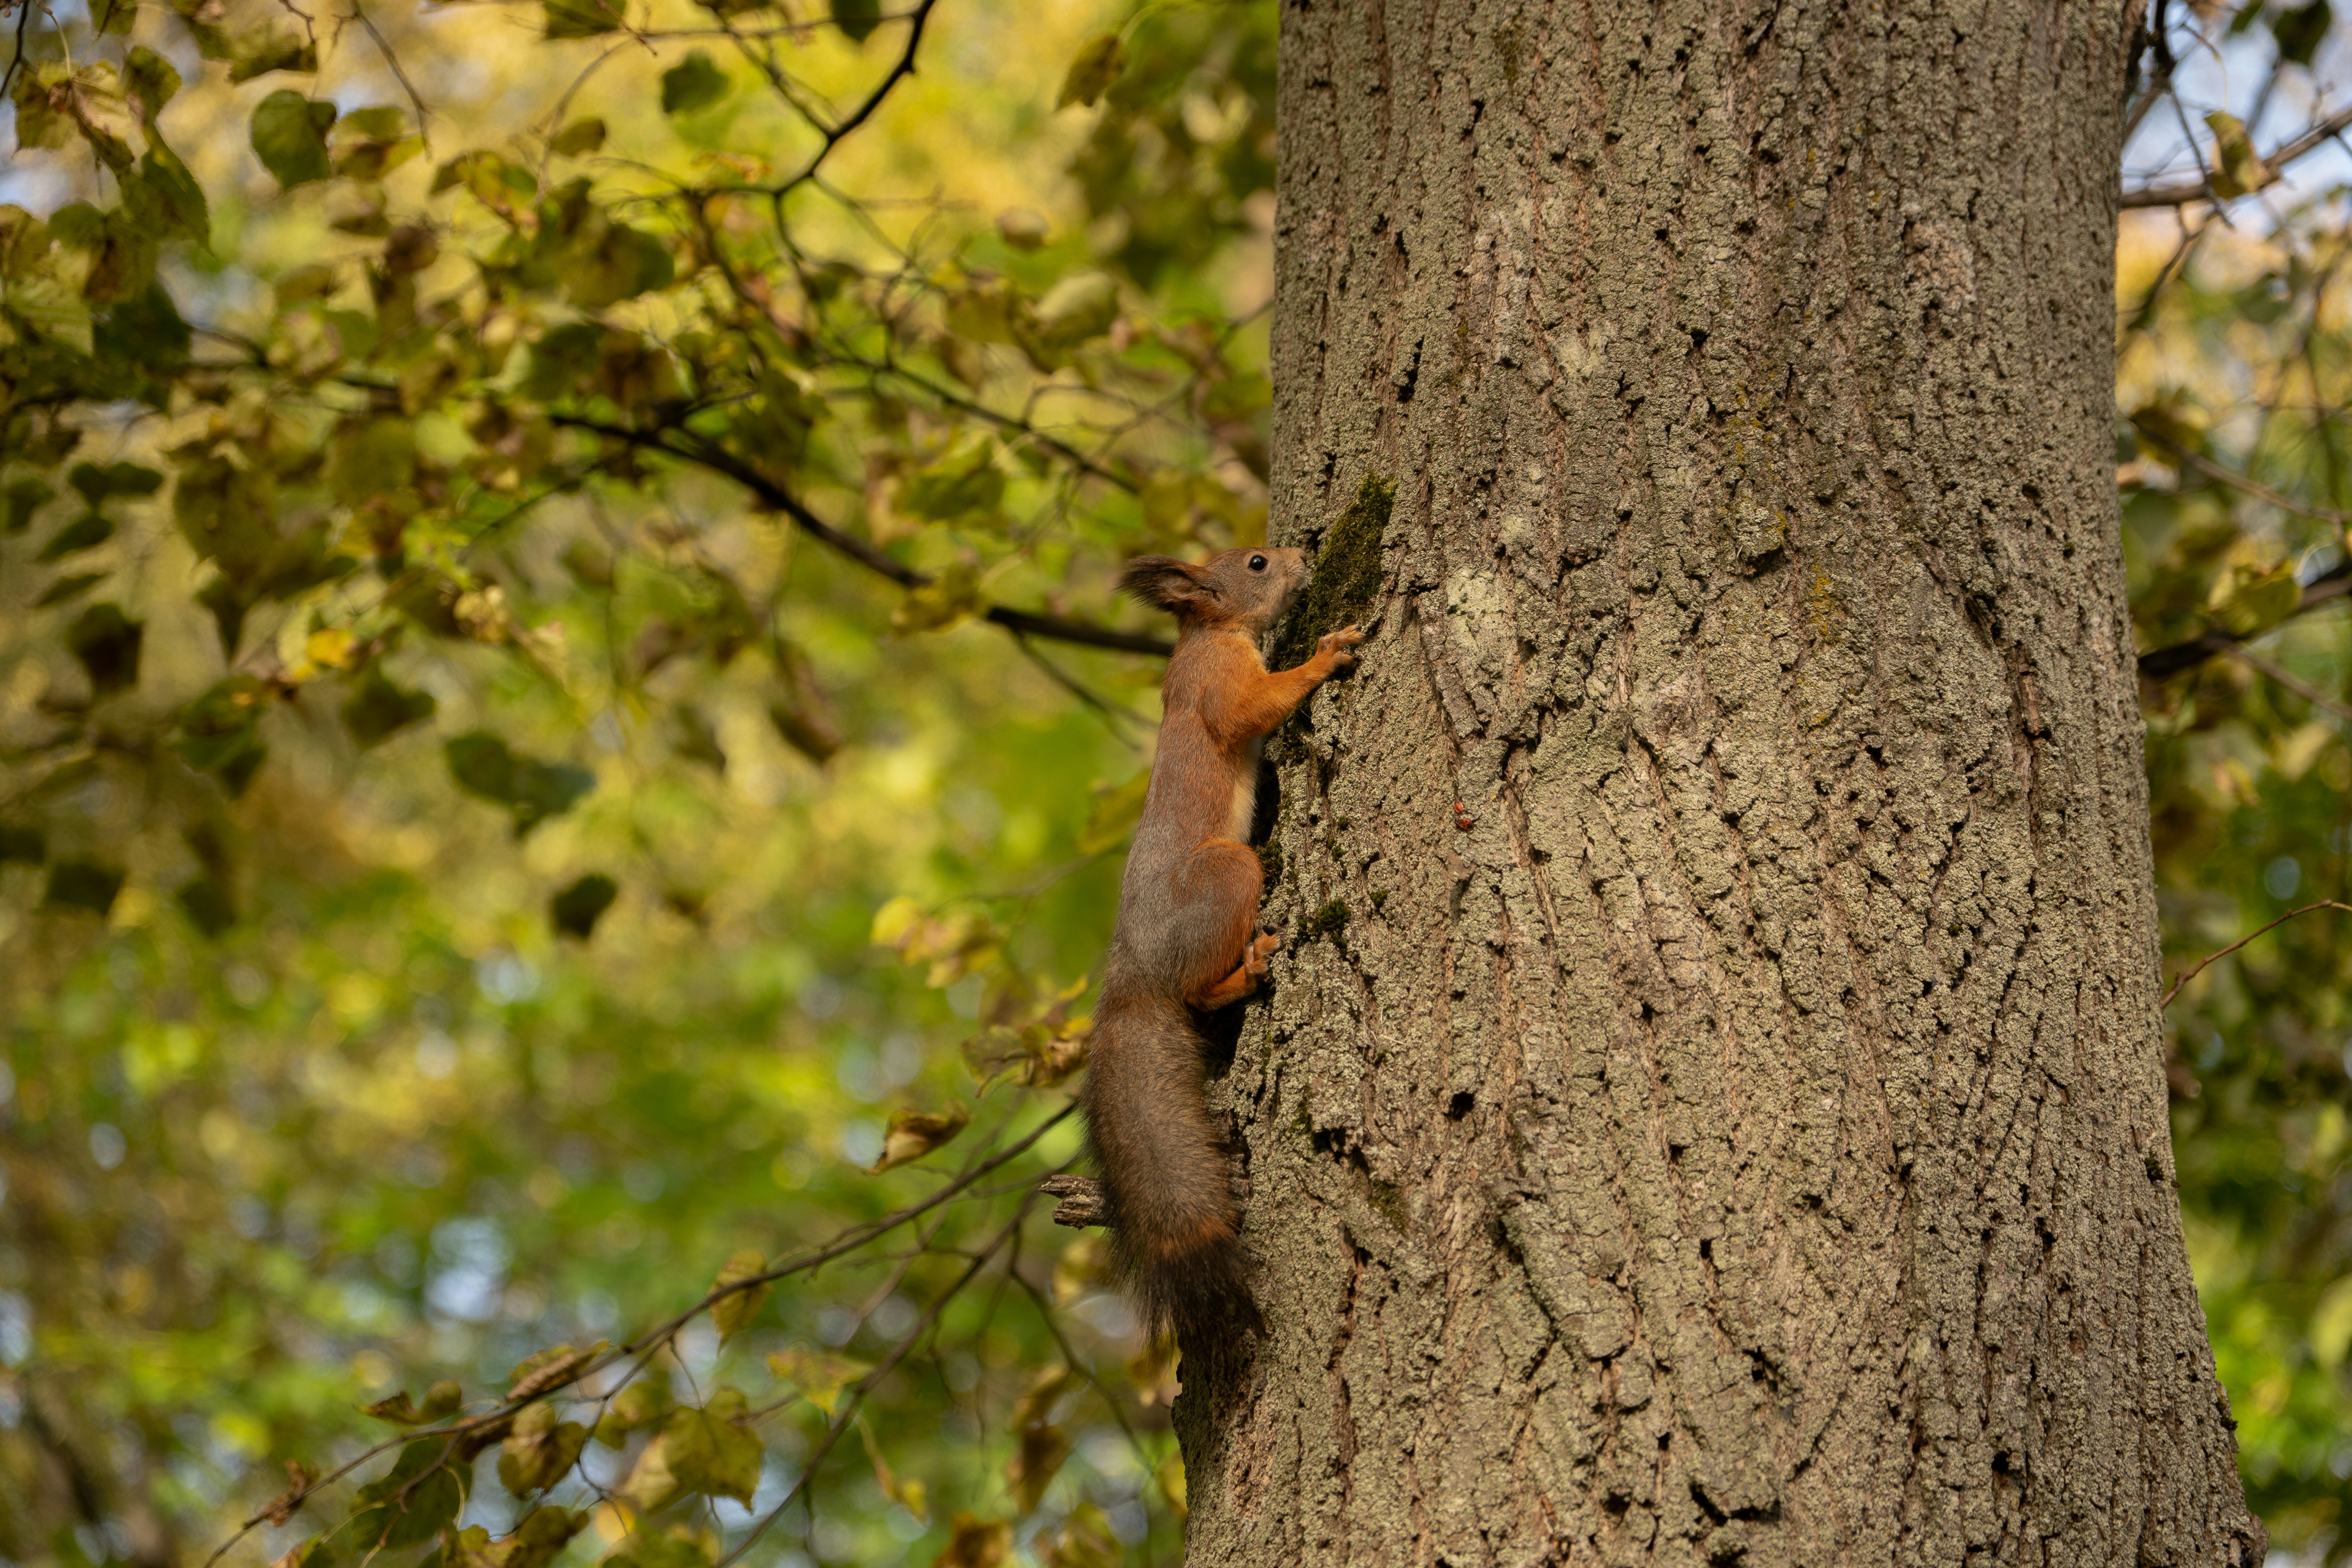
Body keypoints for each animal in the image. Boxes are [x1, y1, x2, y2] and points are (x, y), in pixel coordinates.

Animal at [1082, 547, 1364, 1341]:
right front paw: (1327, 653)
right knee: (1199, 990)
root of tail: (1134, 971)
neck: (1206, 634)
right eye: (1258, 563)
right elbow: (1252, 709)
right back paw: (1250, 971)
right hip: (1228, 873)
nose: (1301, 558)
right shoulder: (1219, 683)